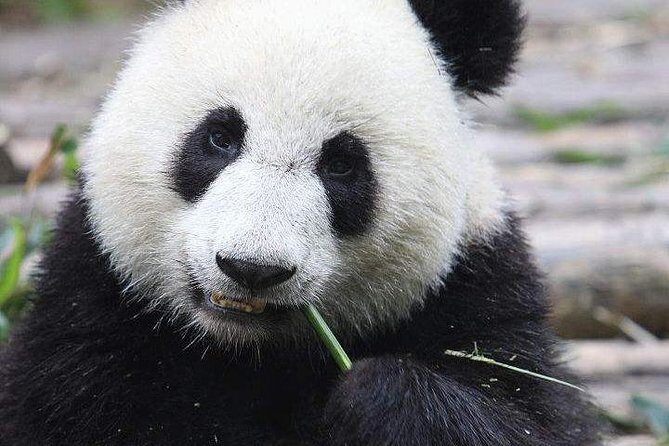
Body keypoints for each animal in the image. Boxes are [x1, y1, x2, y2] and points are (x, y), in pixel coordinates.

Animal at [0, 0, 599, 445]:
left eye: (342, 164)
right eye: (220, 137)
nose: (251, 268)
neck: (245, 349)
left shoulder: (478, 286)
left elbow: (530, 417)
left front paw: (375, 395)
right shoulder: (88, 312)